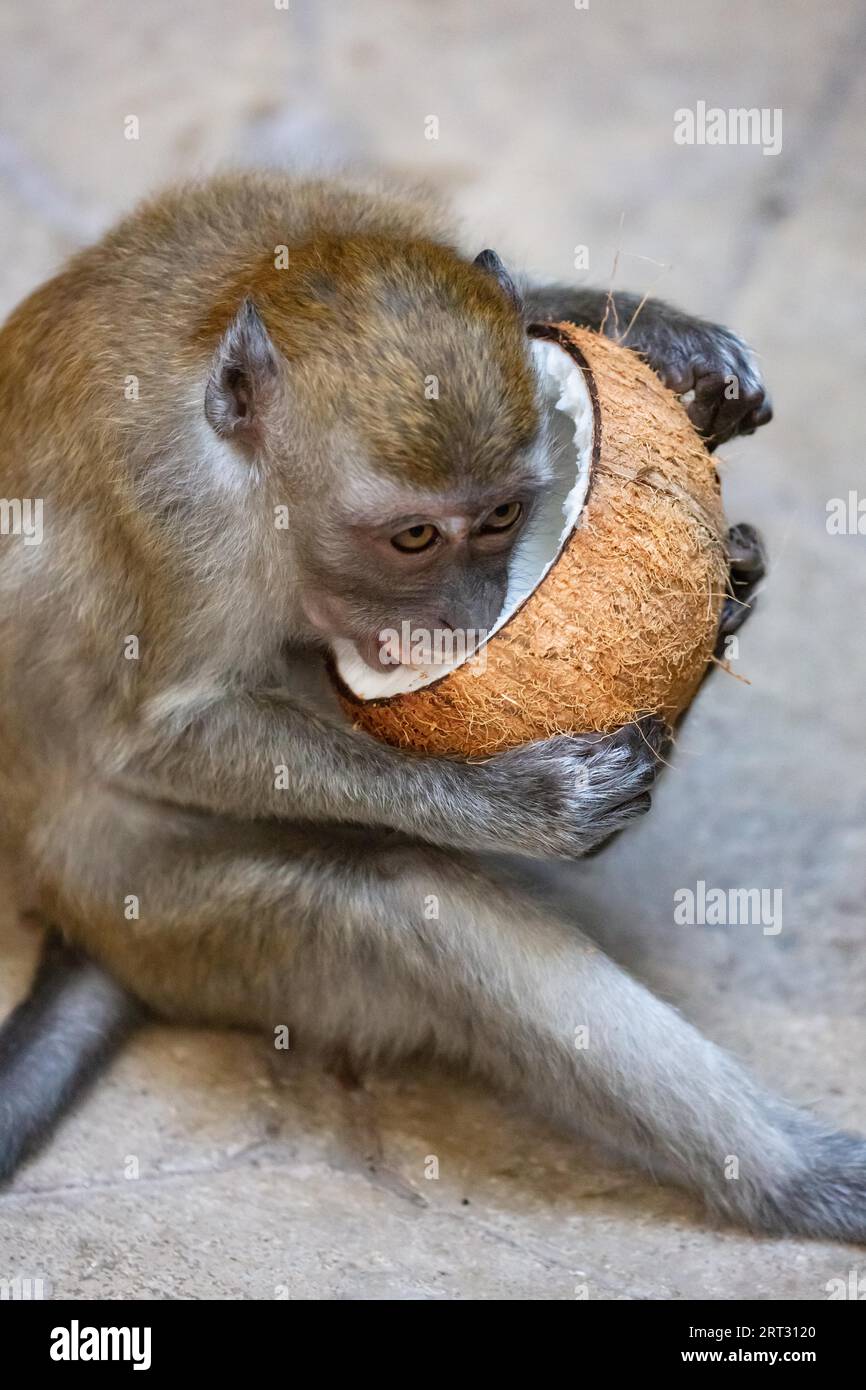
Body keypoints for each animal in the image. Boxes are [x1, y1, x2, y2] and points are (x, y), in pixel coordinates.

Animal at [1, 170, 862, 1244]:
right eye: (413, 537)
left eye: (500, 517)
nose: (467, 611)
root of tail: (66, 906)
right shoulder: (184, 520)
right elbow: (158, 739)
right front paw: (529, 807)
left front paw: (670, 340)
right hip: (155, 906)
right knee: (412, 905)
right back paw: (800, 1177)